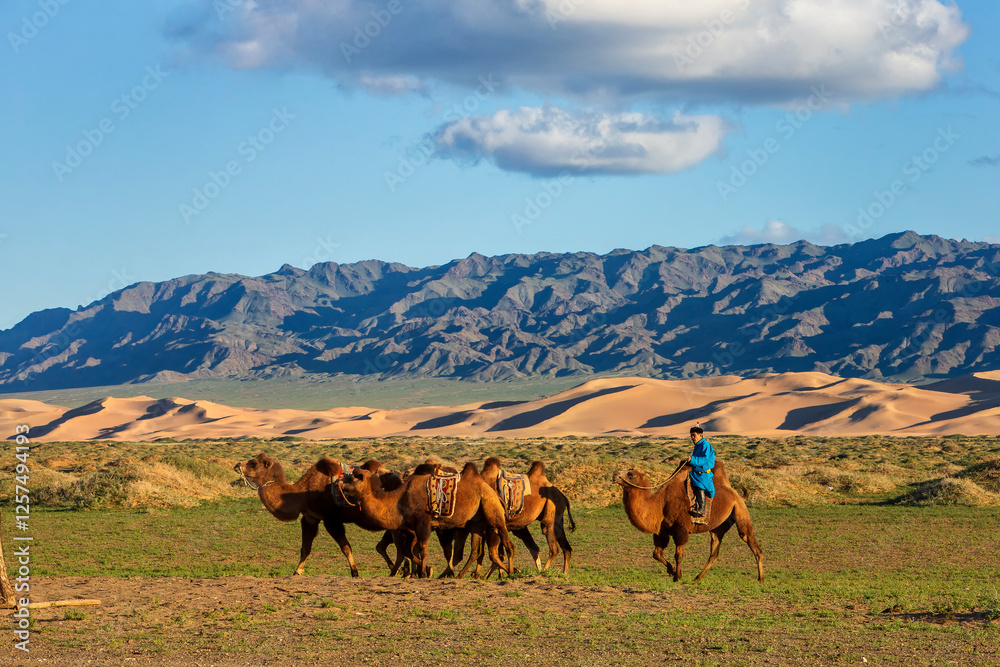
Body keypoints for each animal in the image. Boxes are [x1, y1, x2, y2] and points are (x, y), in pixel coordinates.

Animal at [234, 454, 398, 577]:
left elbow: (346, 548)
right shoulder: (310, 517)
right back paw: (395, 569)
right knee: (384, 544)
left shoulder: (331, 519)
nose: (237, 465)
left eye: (253, 463)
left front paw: (355, 573)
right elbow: (305, 547)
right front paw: (297, 571)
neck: (301, 493)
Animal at [340, 461, 515, 578]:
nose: (339, 484)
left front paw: (424, 573)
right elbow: (409, 550)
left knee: (507, 544)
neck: (400, 498)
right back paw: (460, 576)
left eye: (355, 478)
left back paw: (512, 572)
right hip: (476, 522)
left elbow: (422, 550)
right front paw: (424, 571)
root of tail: (494, 492)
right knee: (475, 551)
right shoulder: (411, 527)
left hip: (492, 508)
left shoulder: (423, 523)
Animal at [611, 460, 763, 583]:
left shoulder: (680, 528)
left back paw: (760, 578)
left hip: (740, 511)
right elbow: (656, 554)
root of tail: (736, 493)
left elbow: (678, 555)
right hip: (718, 527)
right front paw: (672, 571)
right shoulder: (662, 531)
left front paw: (677, 576)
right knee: (714, 551)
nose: (615, 474)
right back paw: (697, 578)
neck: (660, 504)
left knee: (750, 541)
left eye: (631, 474)